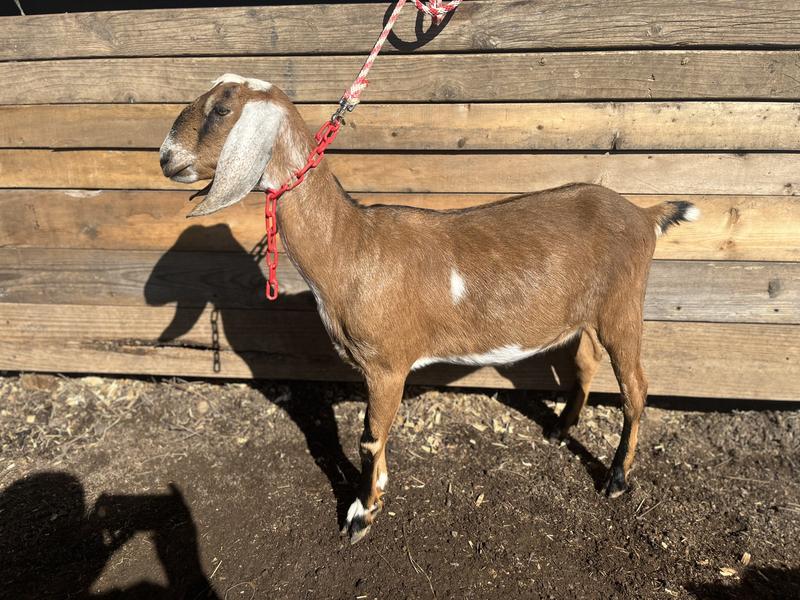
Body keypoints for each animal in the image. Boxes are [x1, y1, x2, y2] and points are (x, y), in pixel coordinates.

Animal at [160, 74, 699, 543]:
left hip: (623, 306)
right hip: (585, 313)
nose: (165, 157)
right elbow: (375, 437)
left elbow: (370, 438)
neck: (353, 247)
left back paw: (616, 479)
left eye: (222, 109)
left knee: (635, 388)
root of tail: (642, 214)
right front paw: (374, 496)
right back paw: (559, 430)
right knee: (585, 362)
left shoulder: (386, 365)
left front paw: (362, 514)